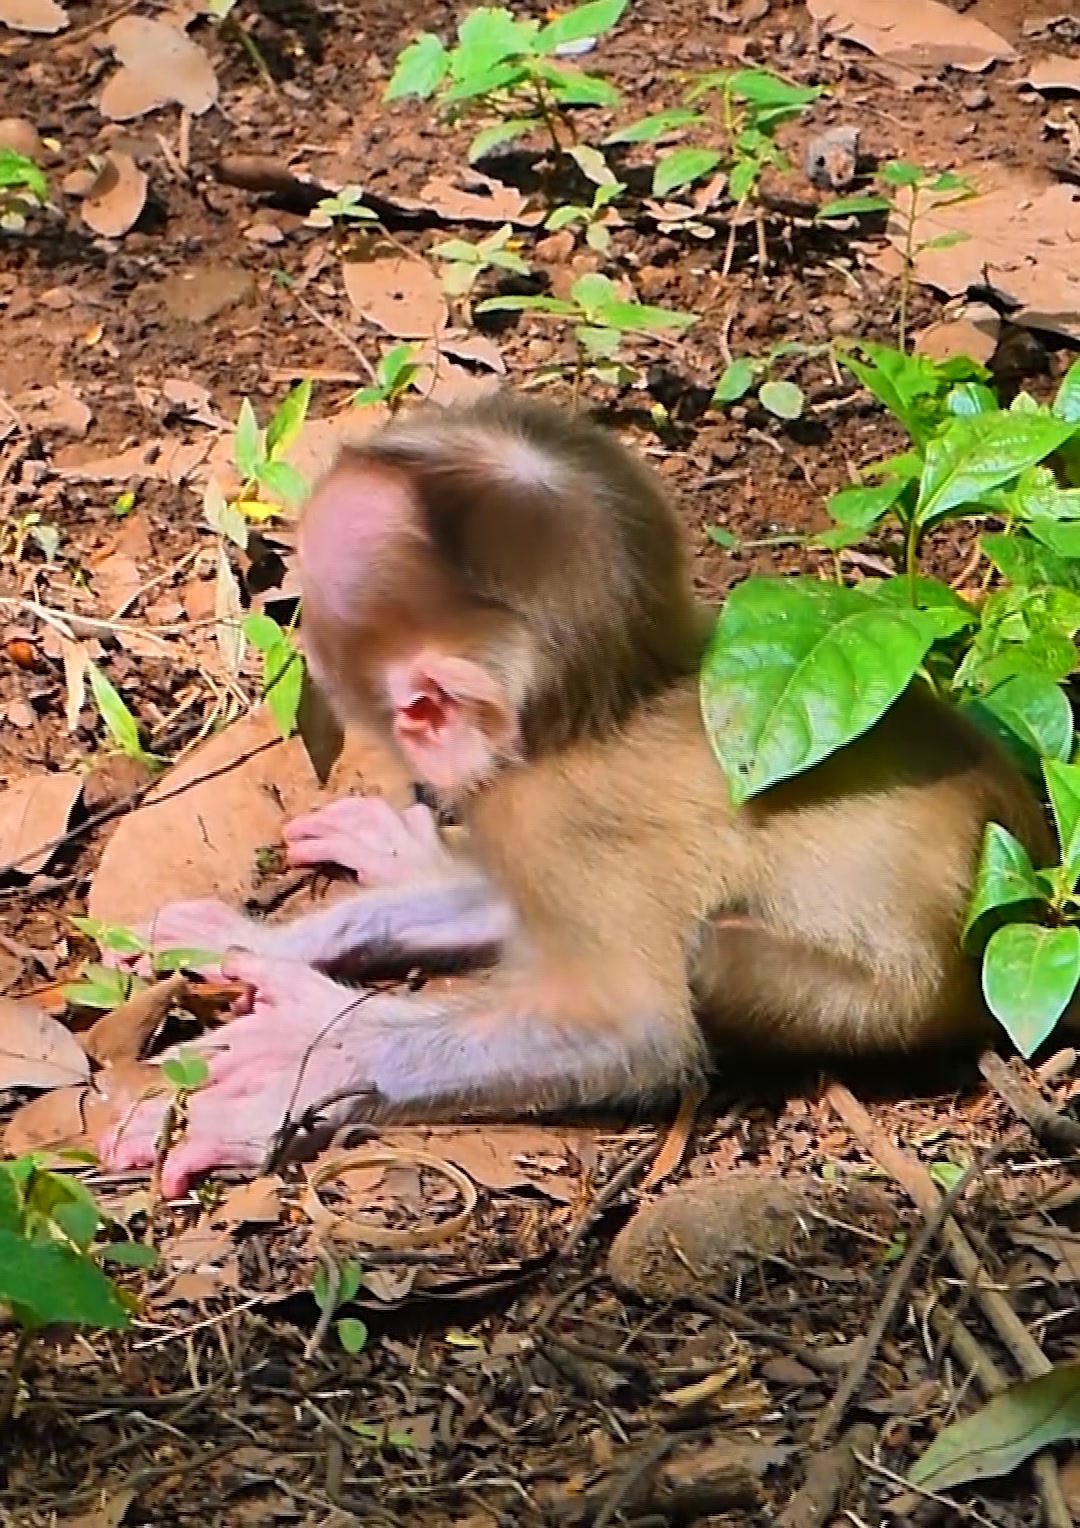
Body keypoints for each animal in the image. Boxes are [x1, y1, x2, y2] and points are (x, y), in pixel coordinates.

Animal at [95, 392, 1054, 1198]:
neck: (596, 712)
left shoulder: (547, 820)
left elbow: (635, 1031)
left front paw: (304, 1060)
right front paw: (263, 946)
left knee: (709, 951)